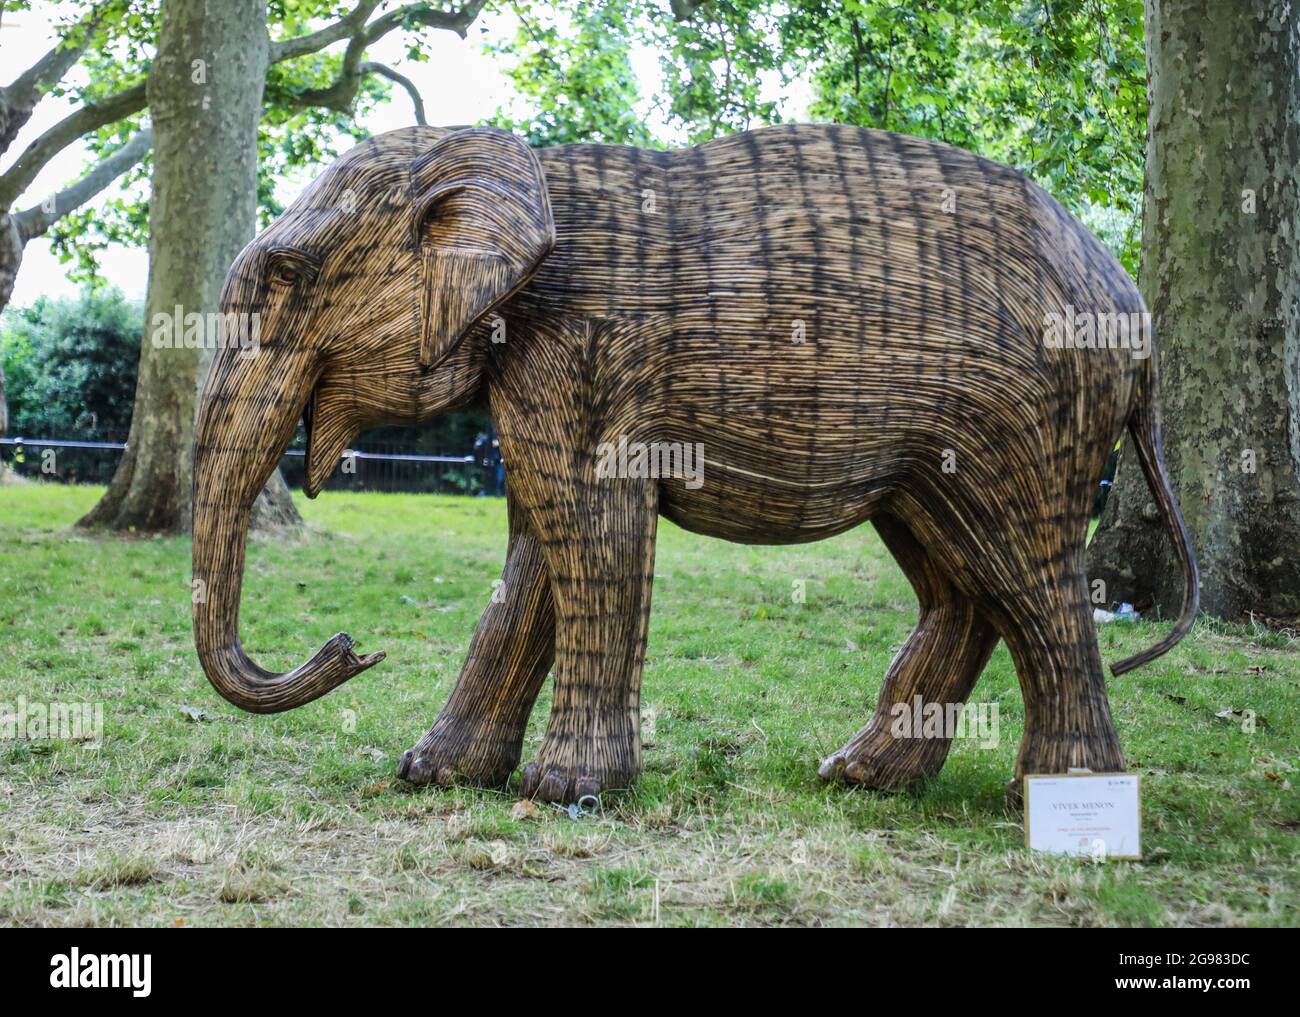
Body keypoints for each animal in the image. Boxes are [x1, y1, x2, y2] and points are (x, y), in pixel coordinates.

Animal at [192, 123, 1198, 804]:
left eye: (285, 274)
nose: (349, 647)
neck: (517, 156)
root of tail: (1131, 305)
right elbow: (537, 552)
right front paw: (433, 774)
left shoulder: (588, 355)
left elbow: (594, 535)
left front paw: (565, 794)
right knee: (963, 578)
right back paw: (859, 777)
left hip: (1022, 411)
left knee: (1032, 576)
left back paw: (1066, 800)